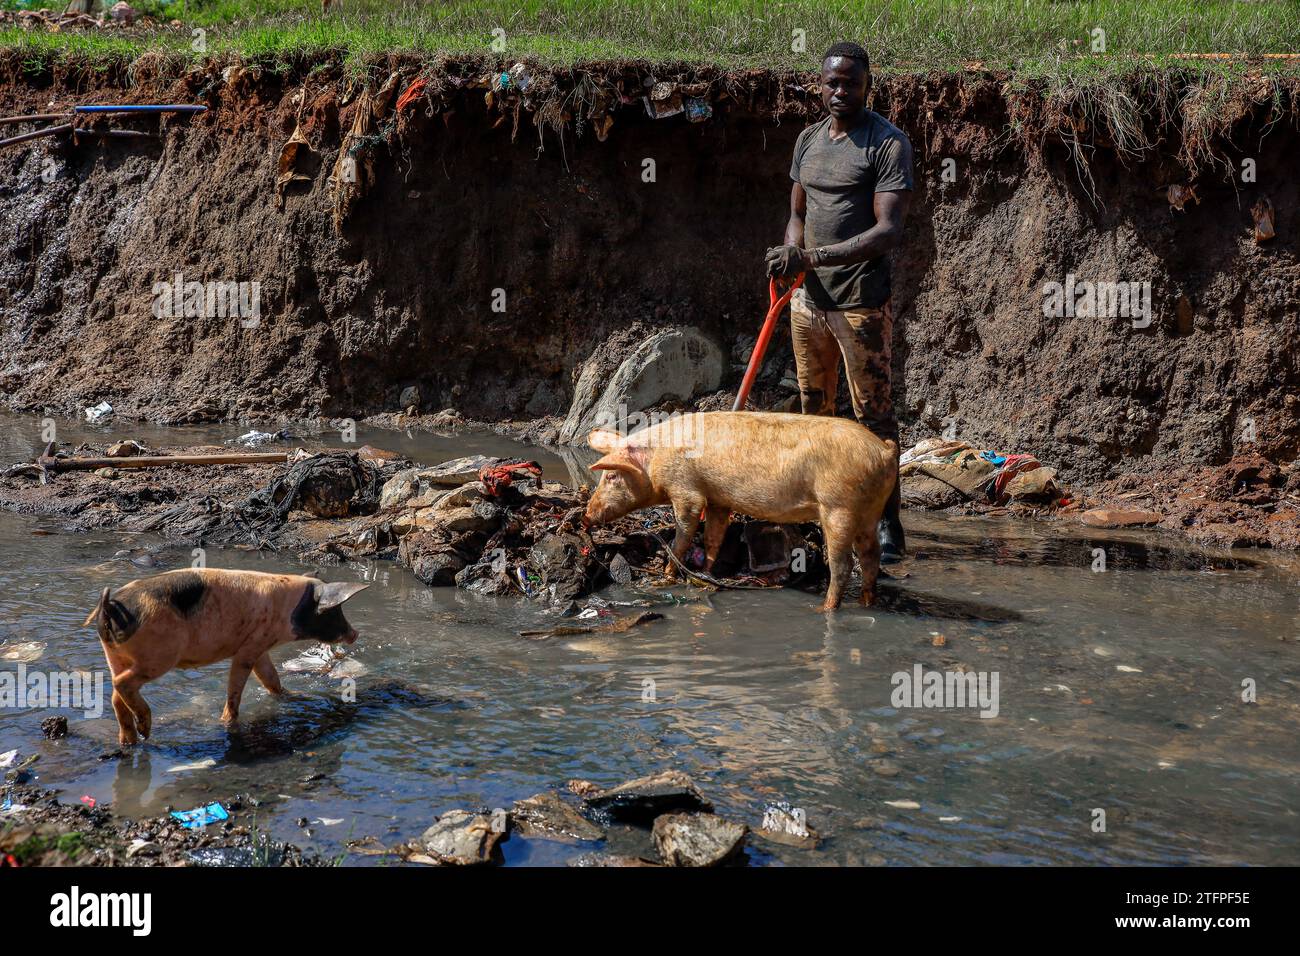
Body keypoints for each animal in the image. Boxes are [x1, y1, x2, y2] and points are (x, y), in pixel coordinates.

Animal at [82, 568, 368, 745]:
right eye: (335, 610)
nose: (354, 634)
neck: (289, 609)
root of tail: (110, 607)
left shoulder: (260, 646)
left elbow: (271, 678)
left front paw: (293, 696)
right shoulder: (249, 647)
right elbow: (237, 686)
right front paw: (229, 722)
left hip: (114, 656)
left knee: (115, 696)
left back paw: (130, 741)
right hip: (158, 657)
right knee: (121, 685)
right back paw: (145, 731)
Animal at [583, 411, 897, 611]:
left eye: (611, 476)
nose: (586, 516)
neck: (655, 460)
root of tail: (884, 451)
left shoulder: (687, 490)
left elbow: (682, 535)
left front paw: (668, 573)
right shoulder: (718, 500)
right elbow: (713, 537)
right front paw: (706, 572)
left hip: (839, 508)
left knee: (843, 565)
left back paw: (824, 609)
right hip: (870, 511)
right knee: (871, 556)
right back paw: (867, 602)